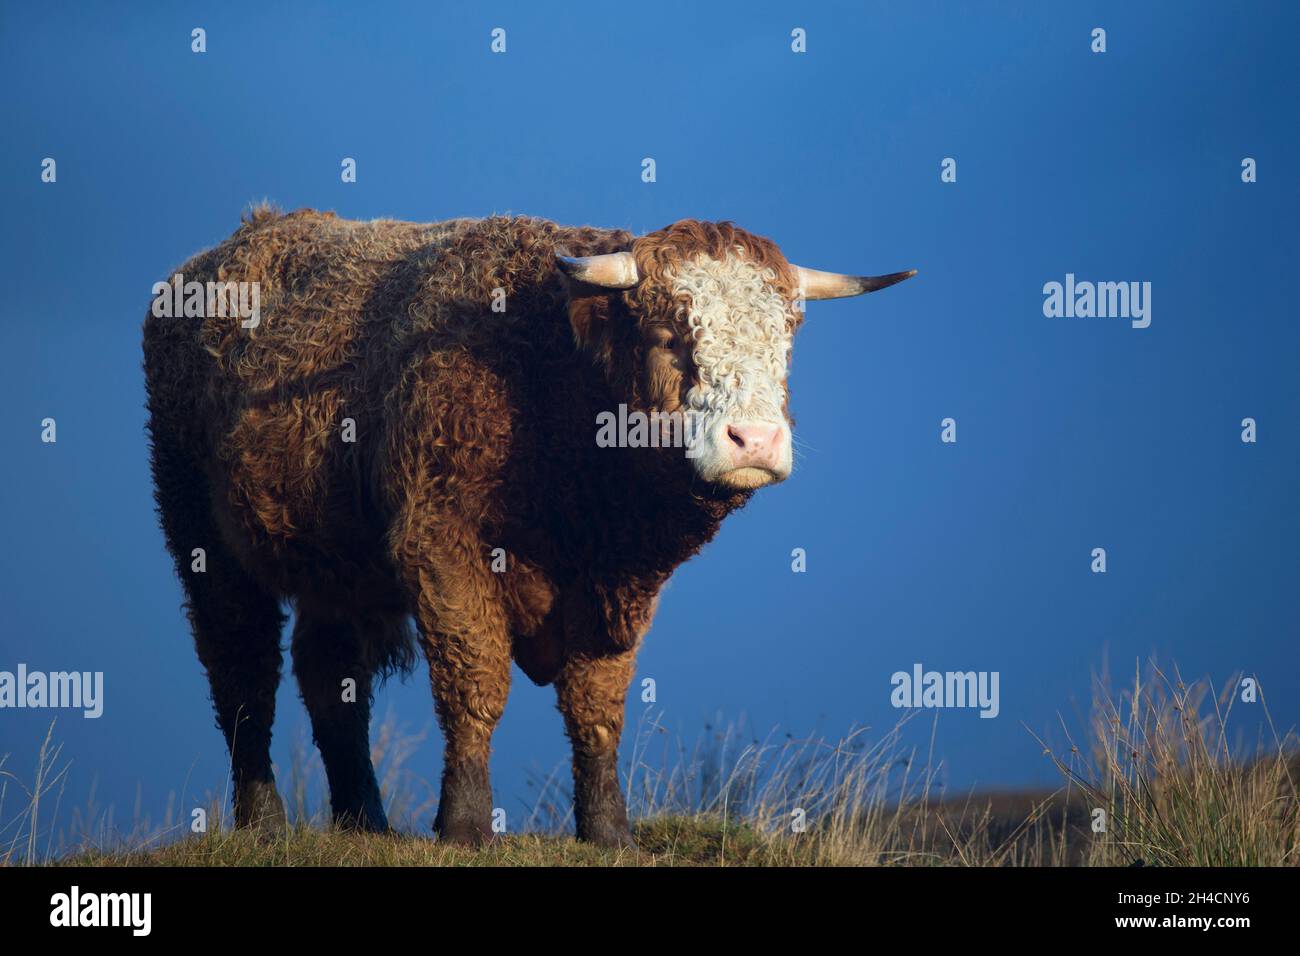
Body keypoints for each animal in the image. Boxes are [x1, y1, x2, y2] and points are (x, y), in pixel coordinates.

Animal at [142, 207, 914, 847]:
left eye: (787, 336)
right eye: (668, 335)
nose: (754, 441)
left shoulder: (618, 588)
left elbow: (597, 702)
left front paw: (609, 830)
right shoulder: (442, 547)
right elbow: (475, 682)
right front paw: (464, 824)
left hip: (333, 569)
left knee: (330, 678)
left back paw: (364, 820)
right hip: (199, 535)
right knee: (242, 670)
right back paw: (263, 820)